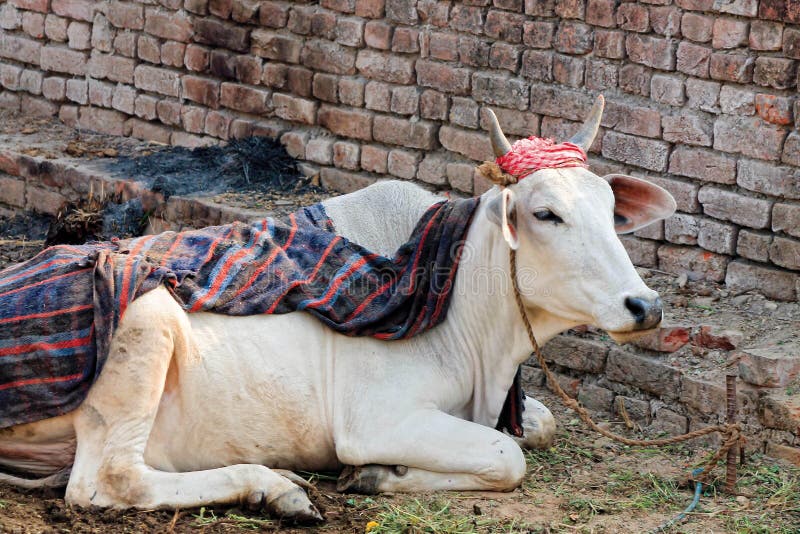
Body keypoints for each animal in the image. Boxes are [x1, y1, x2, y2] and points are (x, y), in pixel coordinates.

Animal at [0, 96, 675, 522]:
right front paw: (376, 474)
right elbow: (509, 458)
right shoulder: (375, 419)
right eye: (545, 214)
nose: (644, 305)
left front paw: (381, 476)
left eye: (610, 208)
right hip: (147, 320)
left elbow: (540, 426)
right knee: (109, 481)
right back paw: (273, 488)